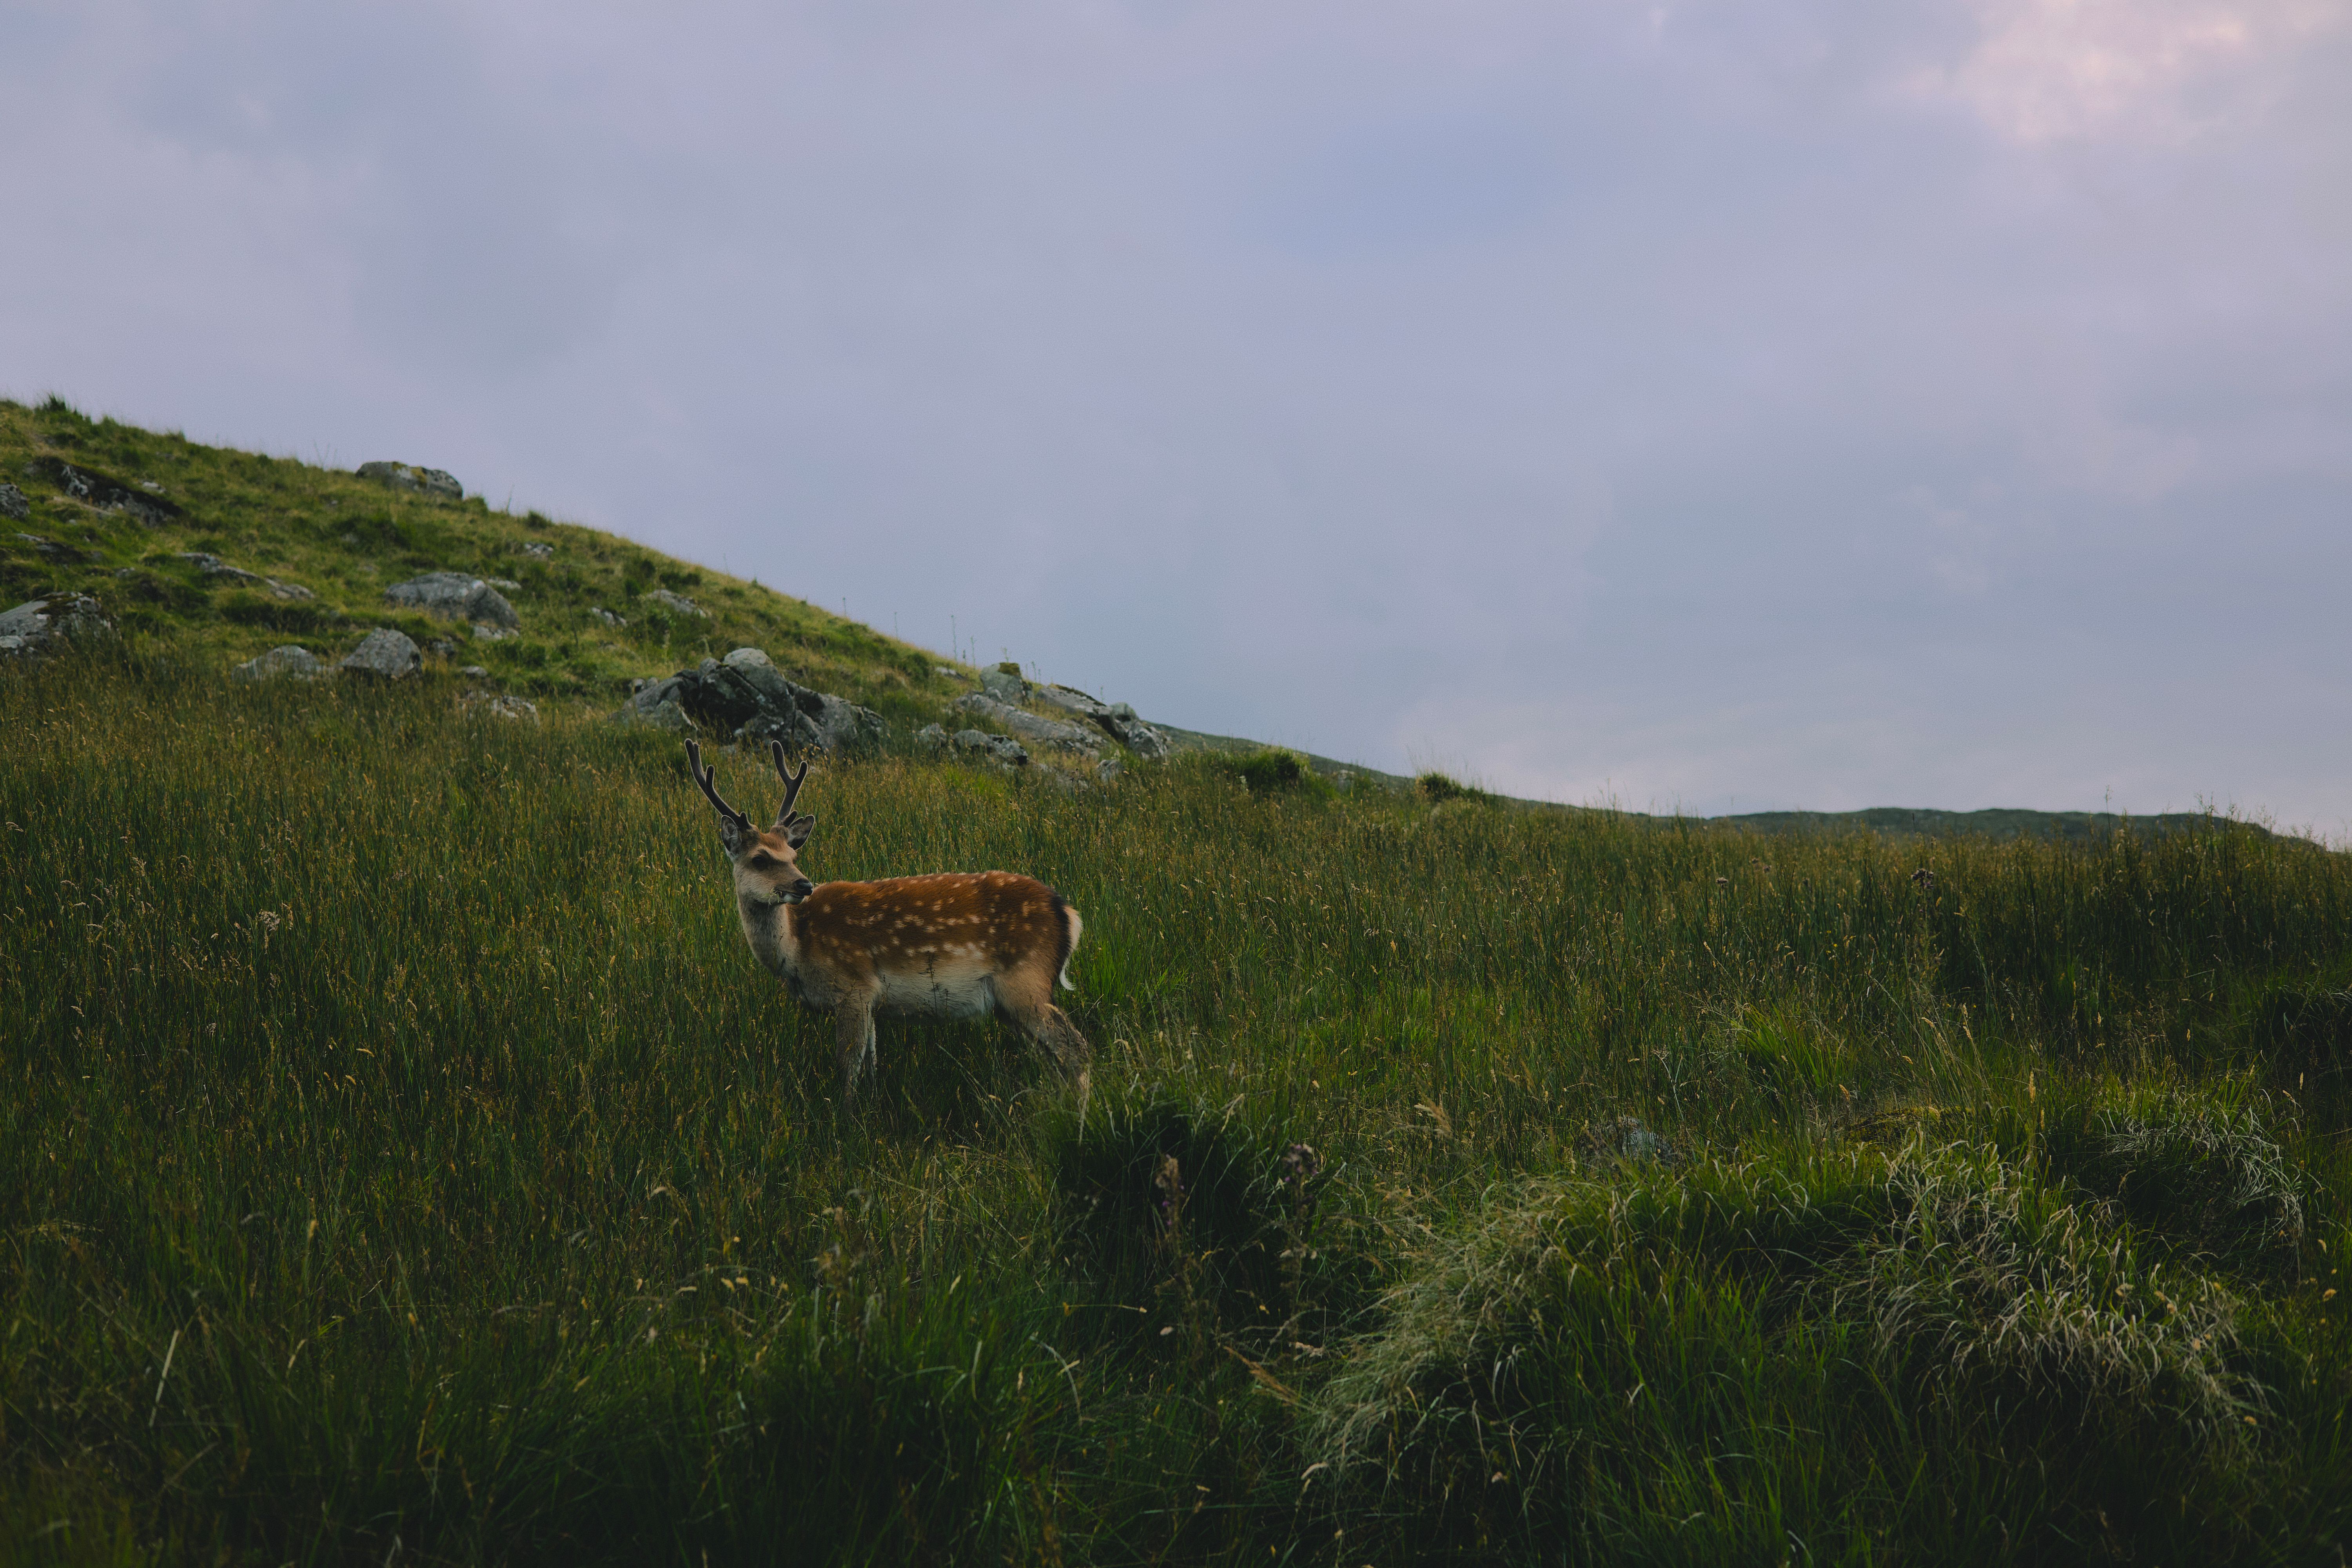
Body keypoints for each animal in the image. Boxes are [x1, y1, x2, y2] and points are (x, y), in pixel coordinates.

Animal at [687, 738, 1093, 1110]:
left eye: (793, 855)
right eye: (760, 859)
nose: (803, 885)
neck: (797, 953)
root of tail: (1069, 915)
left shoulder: (854, 987)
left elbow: (847, 1066)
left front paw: (846, 1120)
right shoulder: (871, 1001)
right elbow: (871, 1062)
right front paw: (871, 1105)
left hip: (1026, 981)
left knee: (1076, 1048)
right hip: (1010, 1003)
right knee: (1055, 1058)